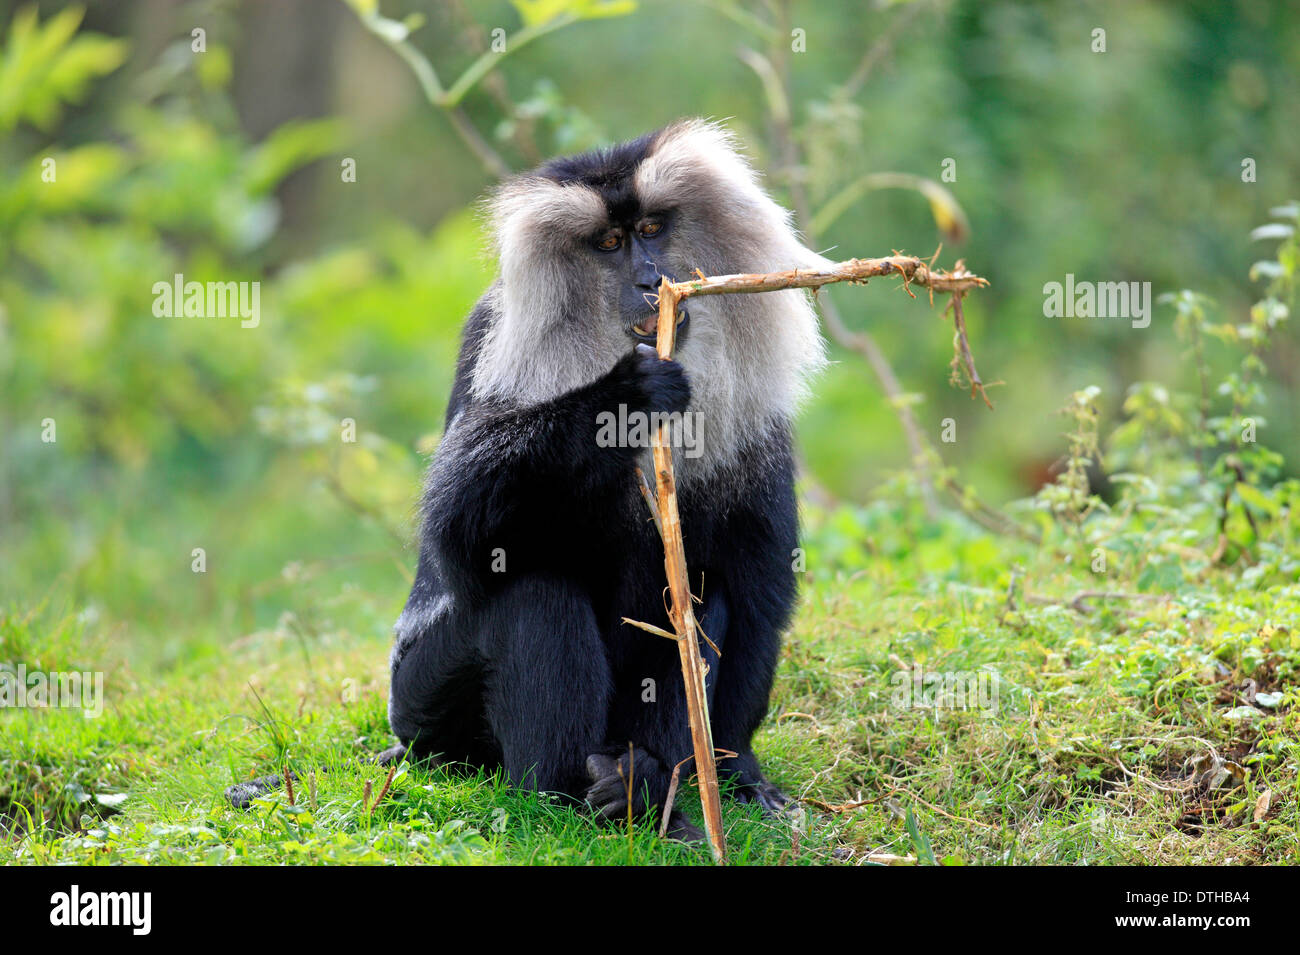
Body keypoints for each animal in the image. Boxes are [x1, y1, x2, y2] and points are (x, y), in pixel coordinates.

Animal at [228, 120, 828, 840]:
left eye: (652, 228)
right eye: (608, 244)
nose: (652, 280)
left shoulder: (758, 443)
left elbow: (759, 597)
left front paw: (741, 772)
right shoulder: (492, 336)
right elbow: (455, 531)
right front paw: (624, 396)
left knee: (701, 603)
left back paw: (642, 789)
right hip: (427, 712)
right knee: (533, 592)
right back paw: (566, 799)